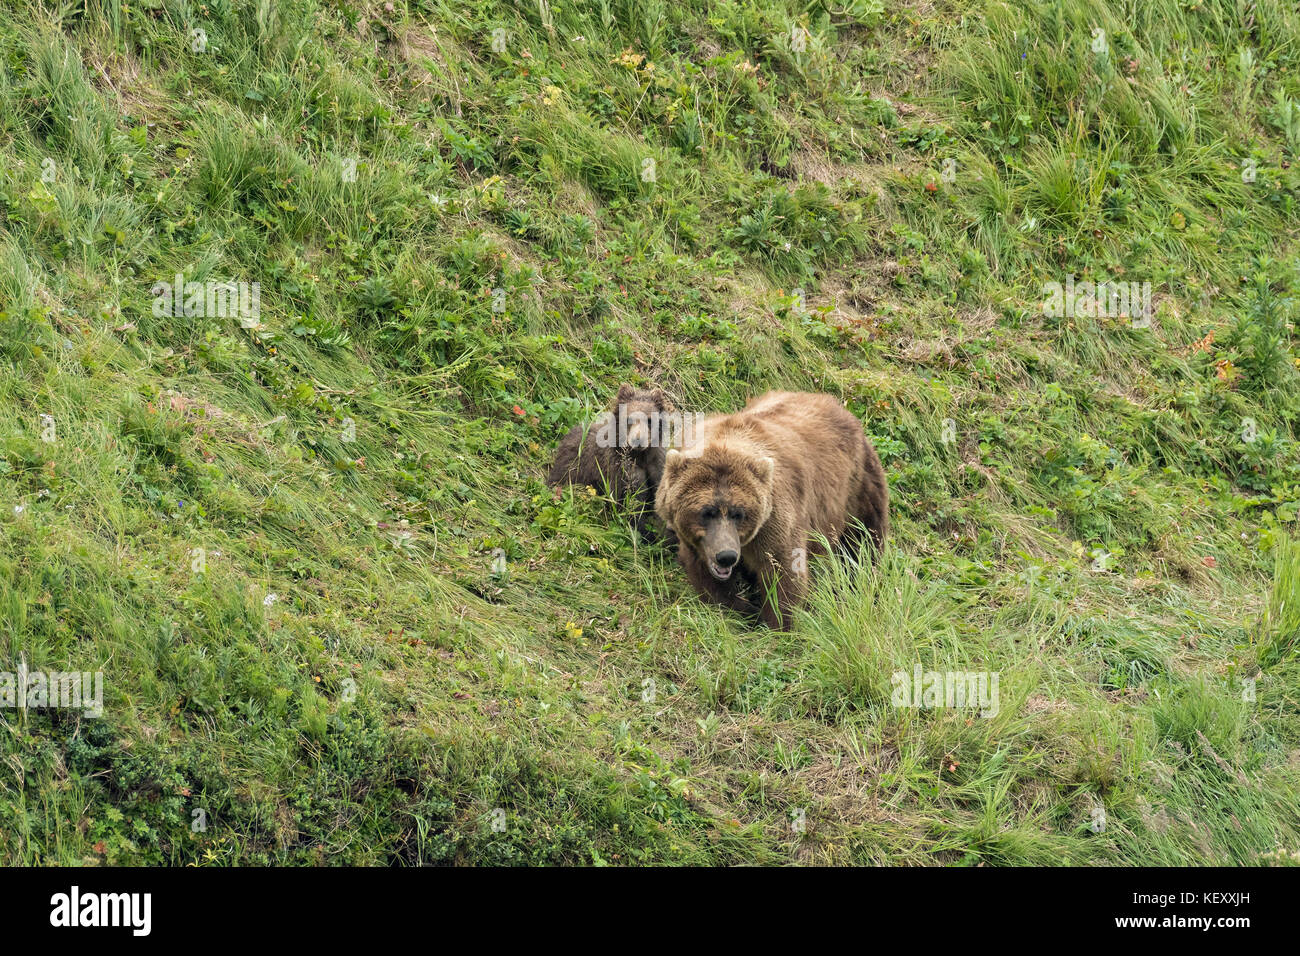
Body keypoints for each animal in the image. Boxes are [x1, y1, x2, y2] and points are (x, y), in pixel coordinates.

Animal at [547, 384, 677, 539]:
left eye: (650, 420)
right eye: (628, 419)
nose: (638, 440)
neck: (640, 456)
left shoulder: (656, 465)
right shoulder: (620, 469)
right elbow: (632, 503)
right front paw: (646, 533)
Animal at [654, 391, 888, 629]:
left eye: (739, 513)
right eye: (707, 512)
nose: (726, 556)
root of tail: (838, 405)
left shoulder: (775, 519)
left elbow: (783, 572)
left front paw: (777, 623)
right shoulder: (696, 542)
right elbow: (708, 579)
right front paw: (743, 609)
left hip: (855, 487)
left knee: (862, 542)